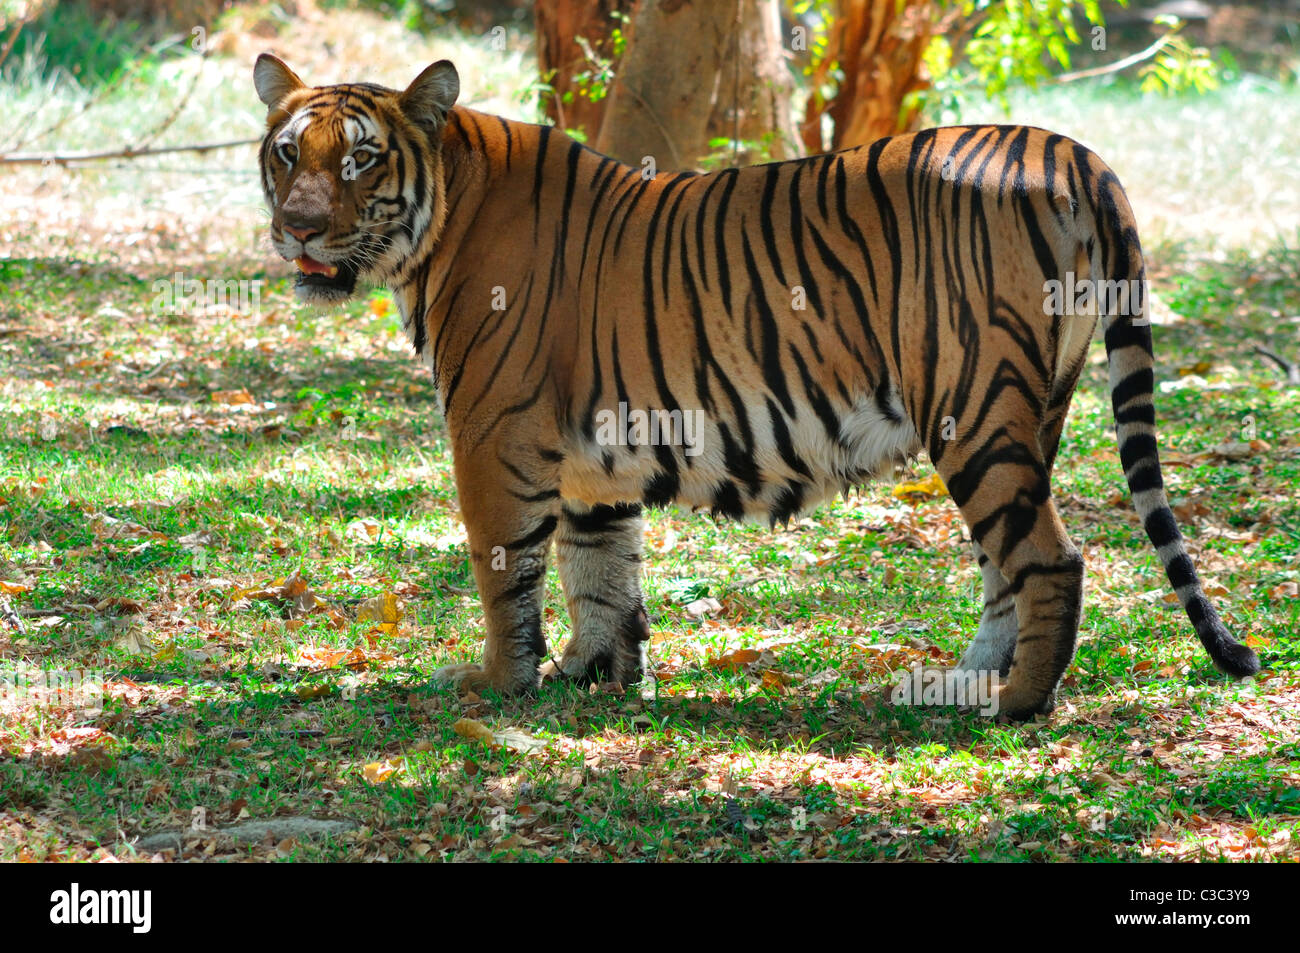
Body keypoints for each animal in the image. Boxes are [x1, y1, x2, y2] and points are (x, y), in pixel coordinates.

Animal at [253, 53, 1259, 720]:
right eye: (286, 154)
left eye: (359, 159)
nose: (297, 228)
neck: (437, 218)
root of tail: (1071, 151)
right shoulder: (588, 456)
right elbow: (598, 569)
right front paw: (593, 672)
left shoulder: (494, 432)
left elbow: (508, 567)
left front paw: (500, 683)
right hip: (1031, 408)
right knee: (1004, 566)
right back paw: (959, 683)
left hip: (974, 408)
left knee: (1051, 557)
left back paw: (1016, 701)